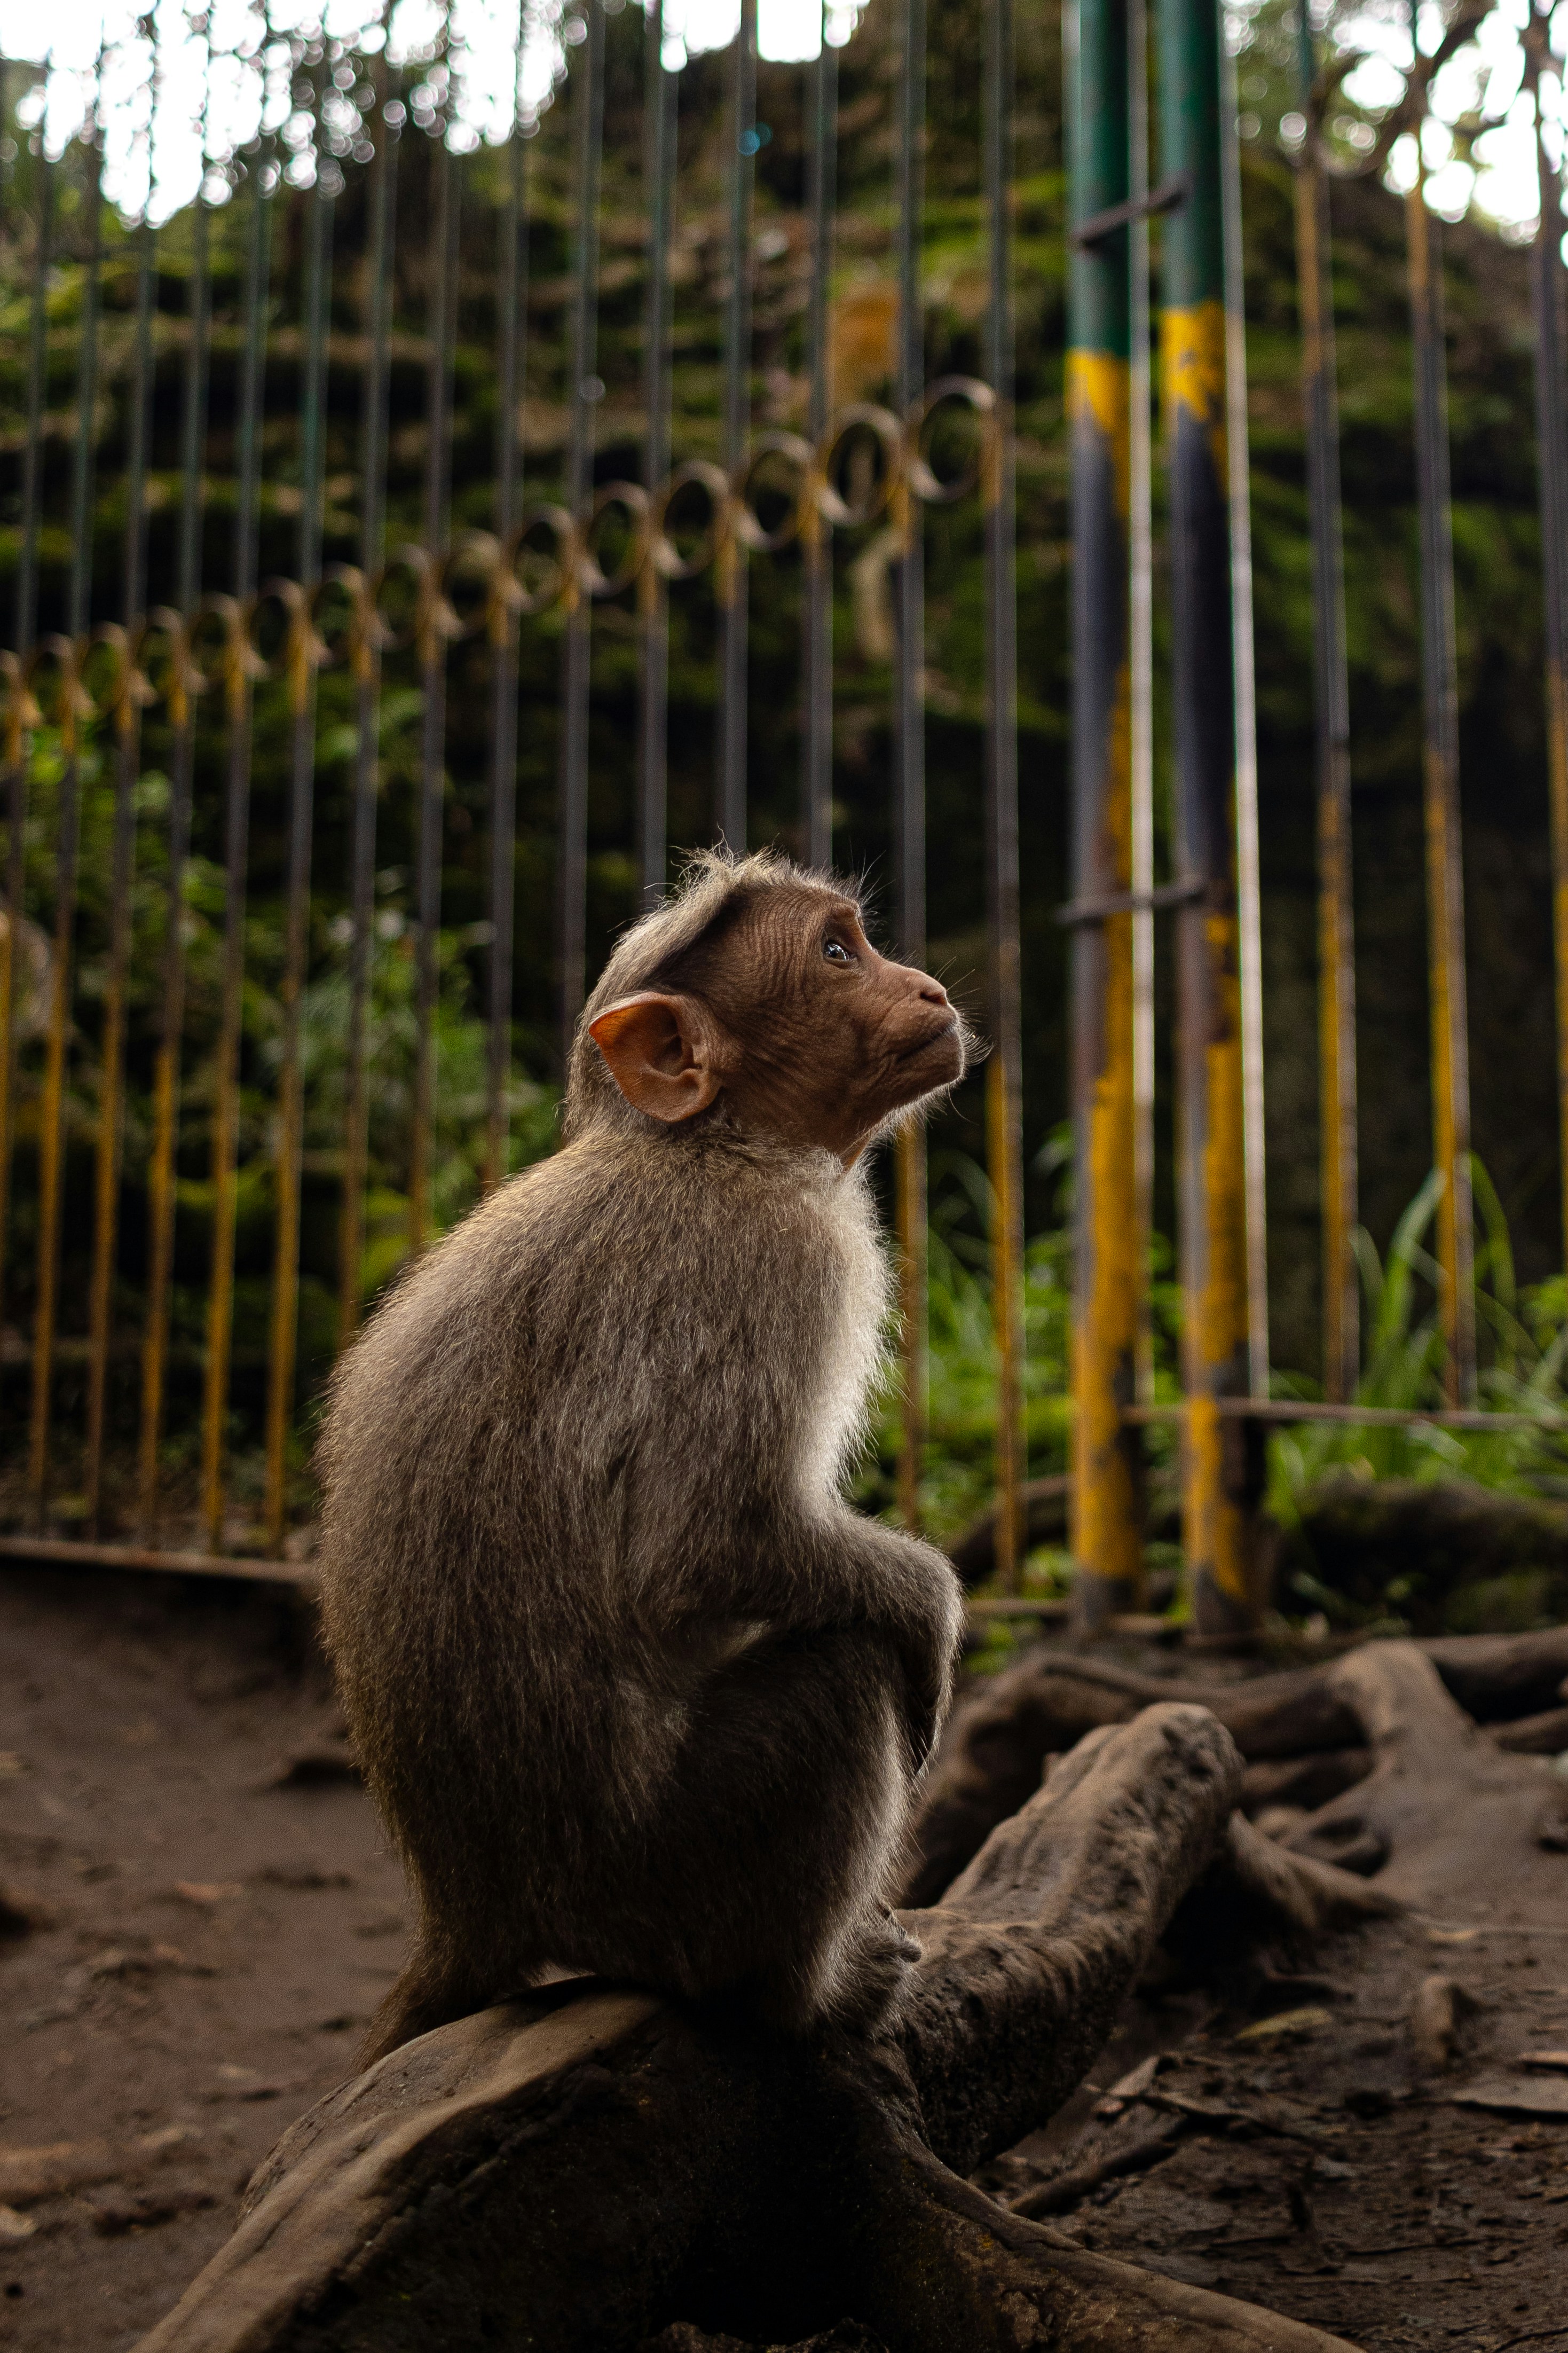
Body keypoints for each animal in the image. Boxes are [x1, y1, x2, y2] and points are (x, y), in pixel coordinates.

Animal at [315, 849, 969, 2066]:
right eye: (836, 953)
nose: (931, 989)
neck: (713, 1143)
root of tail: (469, 1907)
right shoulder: (779, 1265)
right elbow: (700, 1545)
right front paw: (931, 1608)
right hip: (666, 1878)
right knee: (843, 1673)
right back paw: (798, 1999)